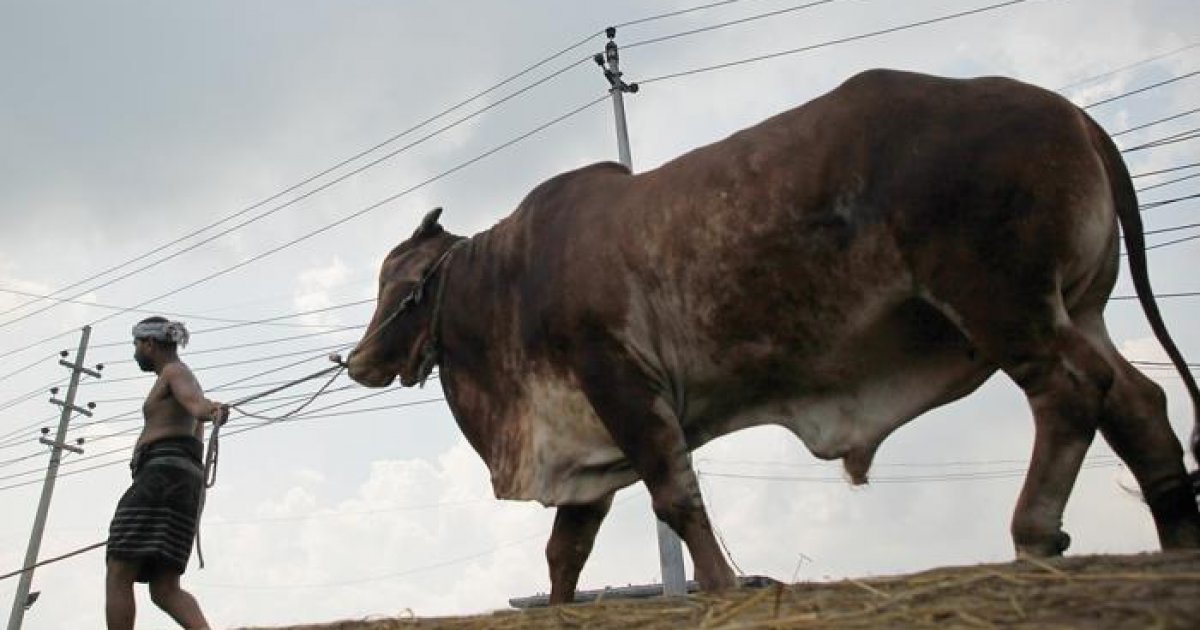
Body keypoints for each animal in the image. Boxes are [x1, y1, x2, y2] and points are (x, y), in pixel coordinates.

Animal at [347, 69, 1200, 603]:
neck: (510, 278)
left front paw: (722, 586)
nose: (355, 360)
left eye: (397, 287)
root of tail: (1072, 114)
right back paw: (1175, 533)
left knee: (1071, 391)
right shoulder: (588, 433)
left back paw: (1034, 533)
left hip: (1003, 303)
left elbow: (676, 497)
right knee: (1138, 400)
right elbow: (567, 549)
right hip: (1078, 306)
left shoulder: (620, 384)